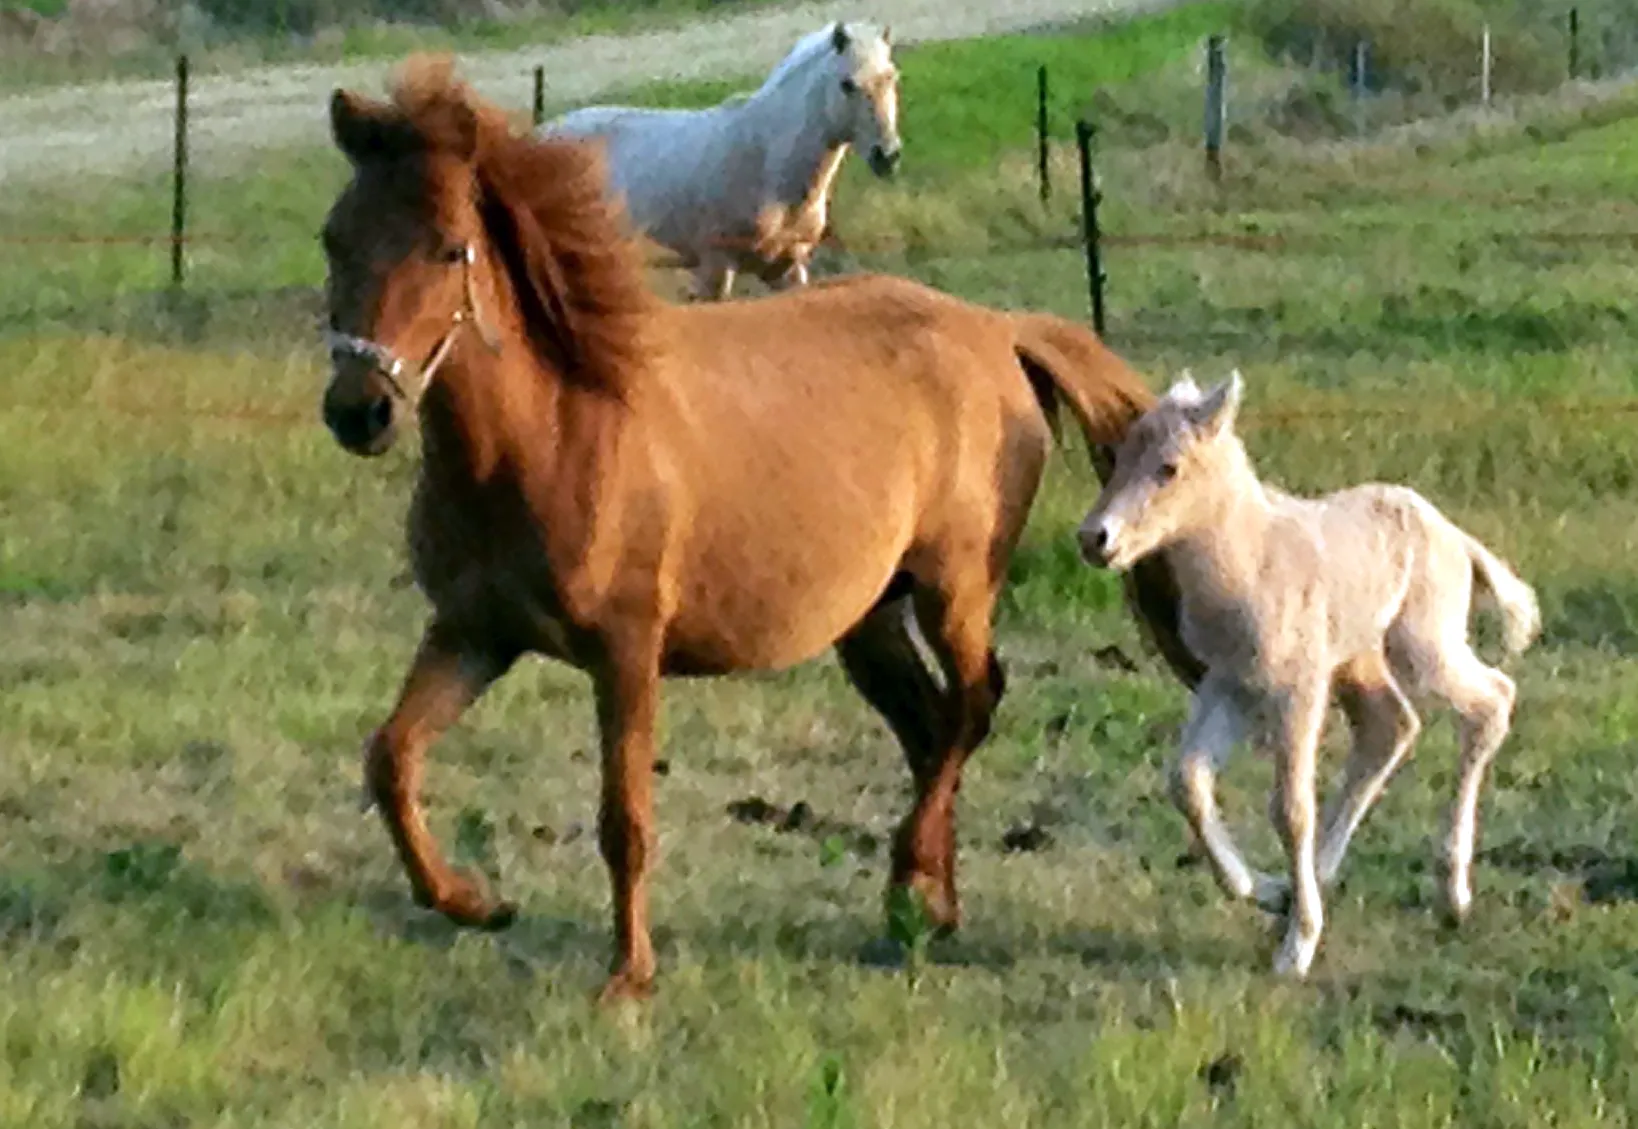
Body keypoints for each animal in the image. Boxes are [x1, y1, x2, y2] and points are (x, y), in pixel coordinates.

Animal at [317, 55, 1193, 1002]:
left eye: (449, 246)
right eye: (334, 238)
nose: (359, 412)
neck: (554, 433)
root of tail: (997, 330)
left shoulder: (626, 651)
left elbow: (624, 816)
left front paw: (627, 977)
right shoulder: (475, 633)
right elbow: (390, 758)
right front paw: (473, 901)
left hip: (953, 586)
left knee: (973, 702)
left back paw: (909, 876)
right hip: (870, 616)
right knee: (928, 725)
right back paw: (928, 904)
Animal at [540, 21, 901, 301]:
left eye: (892, 77)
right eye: (847, 84)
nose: (888, 156)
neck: (768, 167)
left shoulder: (788, 268)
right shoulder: (716, 266)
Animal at [1078, 371, 1539, 978]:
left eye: (1169, 468)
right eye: (1119, 457)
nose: (1094, 539)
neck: (1250, 559)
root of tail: (1454, 534)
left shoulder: (1295, 688)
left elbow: (1291, 808)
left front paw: (1297, 948)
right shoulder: (1229, 684)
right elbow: (1188, 781)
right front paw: (1267, 892)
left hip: (1423, 645)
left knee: (1491, 701)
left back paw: (1452, 892)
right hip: (1359, 658)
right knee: (1391, 726)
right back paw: (1314, 882)